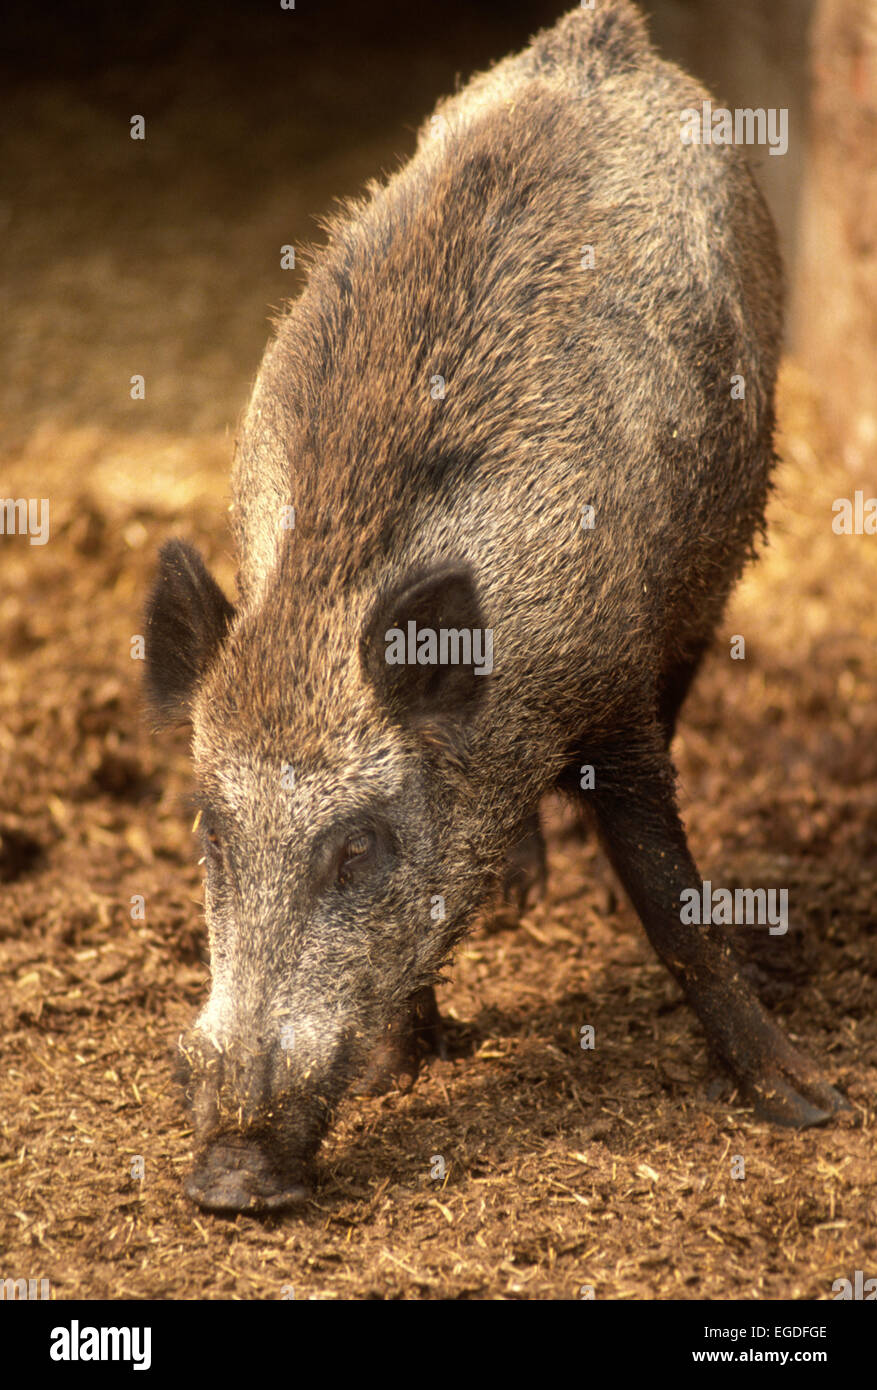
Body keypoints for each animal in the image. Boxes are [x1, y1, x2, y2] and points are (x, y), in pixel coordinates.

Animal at [145, 1, 847, 1213]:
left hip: (716, 555)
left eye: (360, 847)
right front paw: (408, 1061)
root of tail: (603, 36)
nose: (228, 1181)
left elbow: (671, 898)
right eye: (208, 831)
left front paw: (812, 1106)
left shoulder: (613, 690)